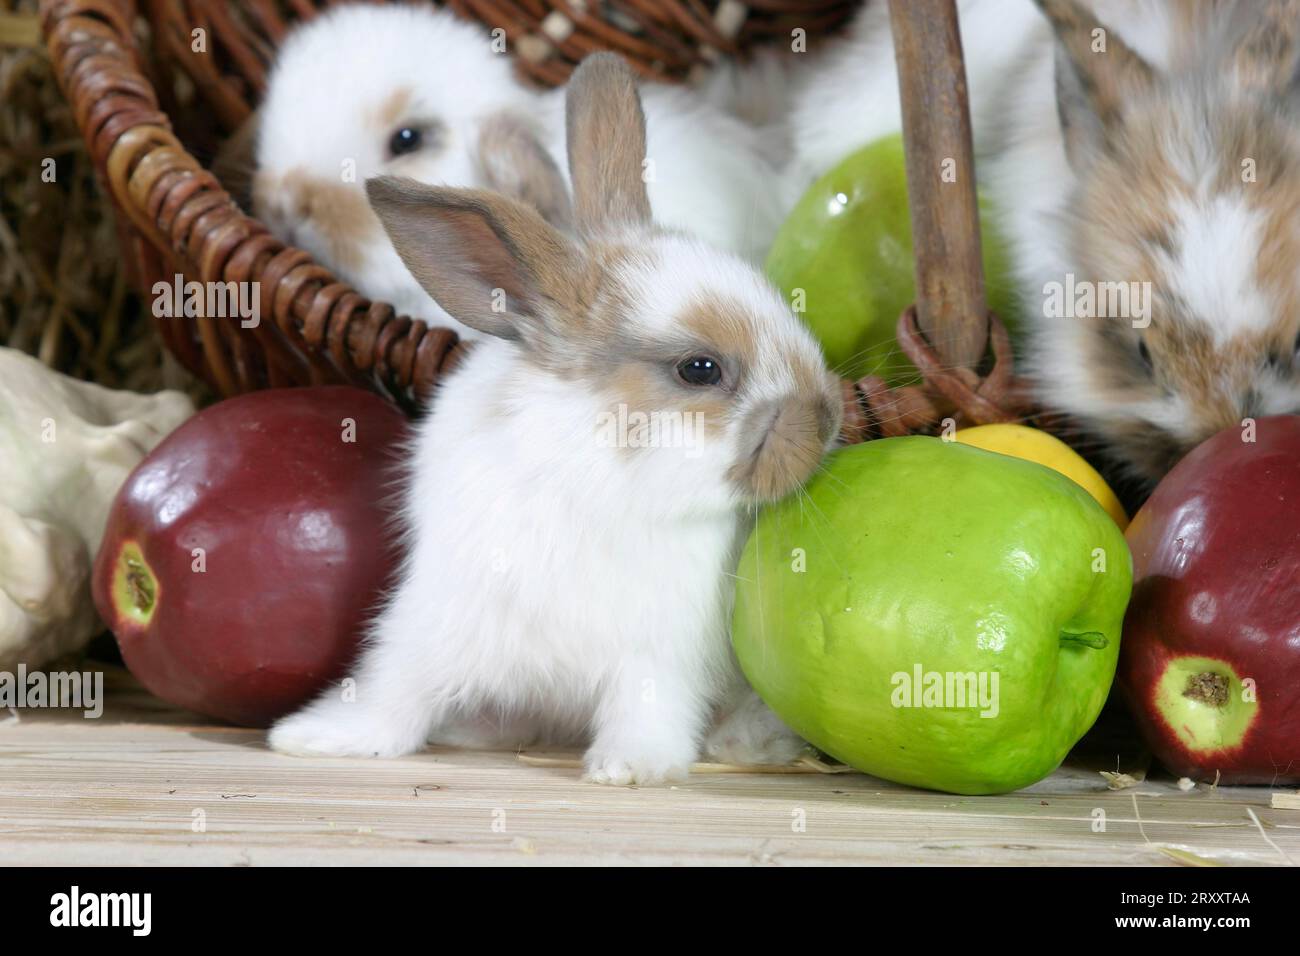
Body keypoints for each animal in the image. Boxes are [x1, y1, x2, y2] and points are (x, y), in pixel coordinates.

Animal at [267, 53, 843, 785]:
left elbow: (647, 708)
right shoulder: (434, 621)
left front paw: (630, 769)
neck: (599, 471)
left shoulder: (659, 655)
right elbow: (392, 693)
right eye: (700, 369)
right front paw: (315, 738)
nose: (827, 418)